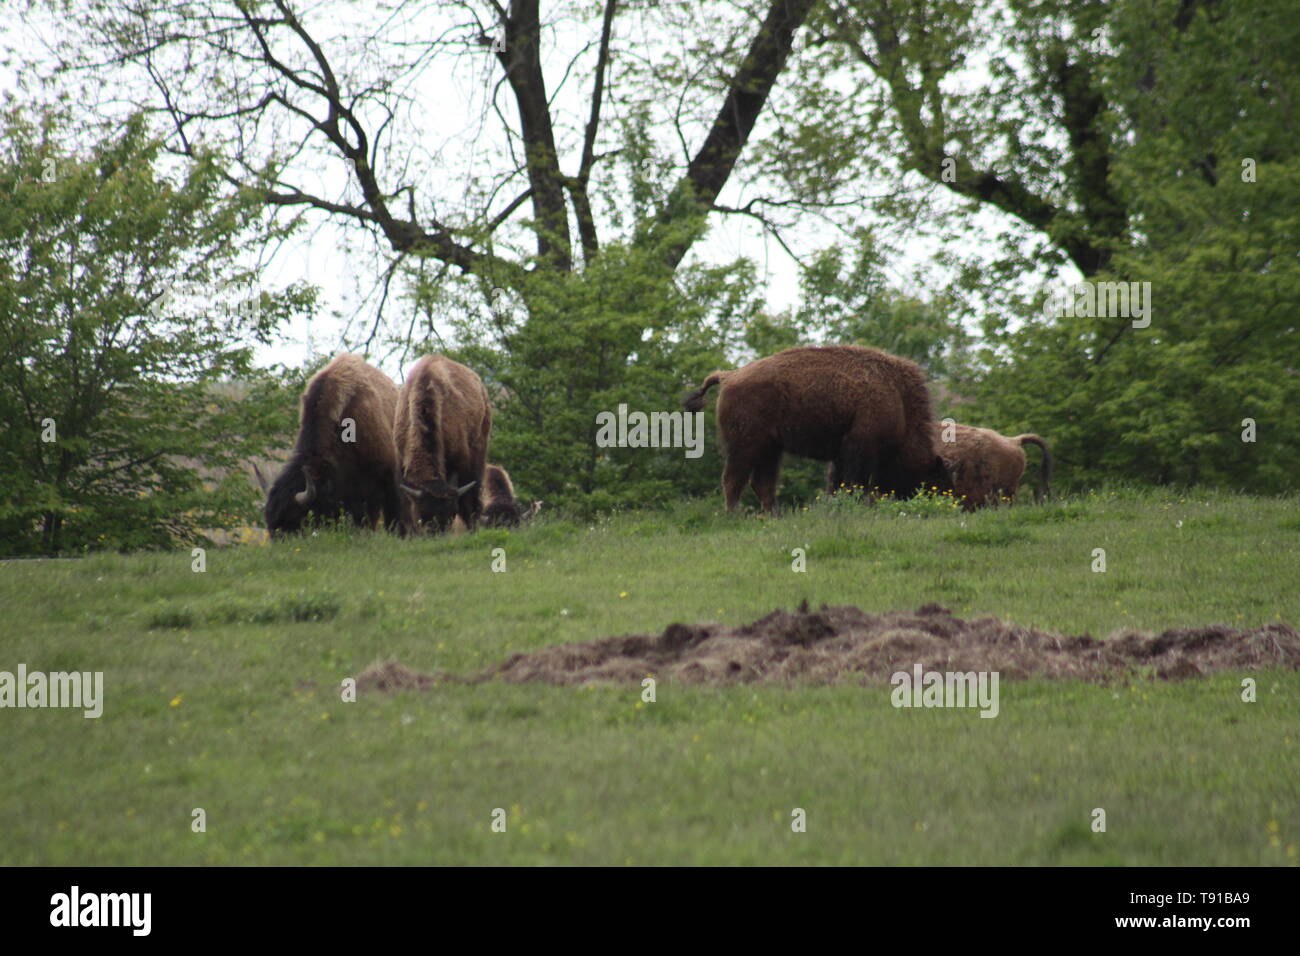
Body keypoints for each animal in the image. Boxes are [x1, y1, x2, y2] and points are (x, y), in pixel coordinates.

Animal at [683, 345, 949, 513]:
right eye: (929, 476)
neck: (897, 398)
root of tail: (729, 376)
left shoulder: (843, 454)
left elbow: (840, 484)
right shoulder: (860, 447)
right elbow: (855, 483)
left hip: (770, 449)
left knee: (762, 483)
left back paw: (774, 517)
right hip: (745, 445)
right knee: (734, 480)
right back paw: (734, 515)